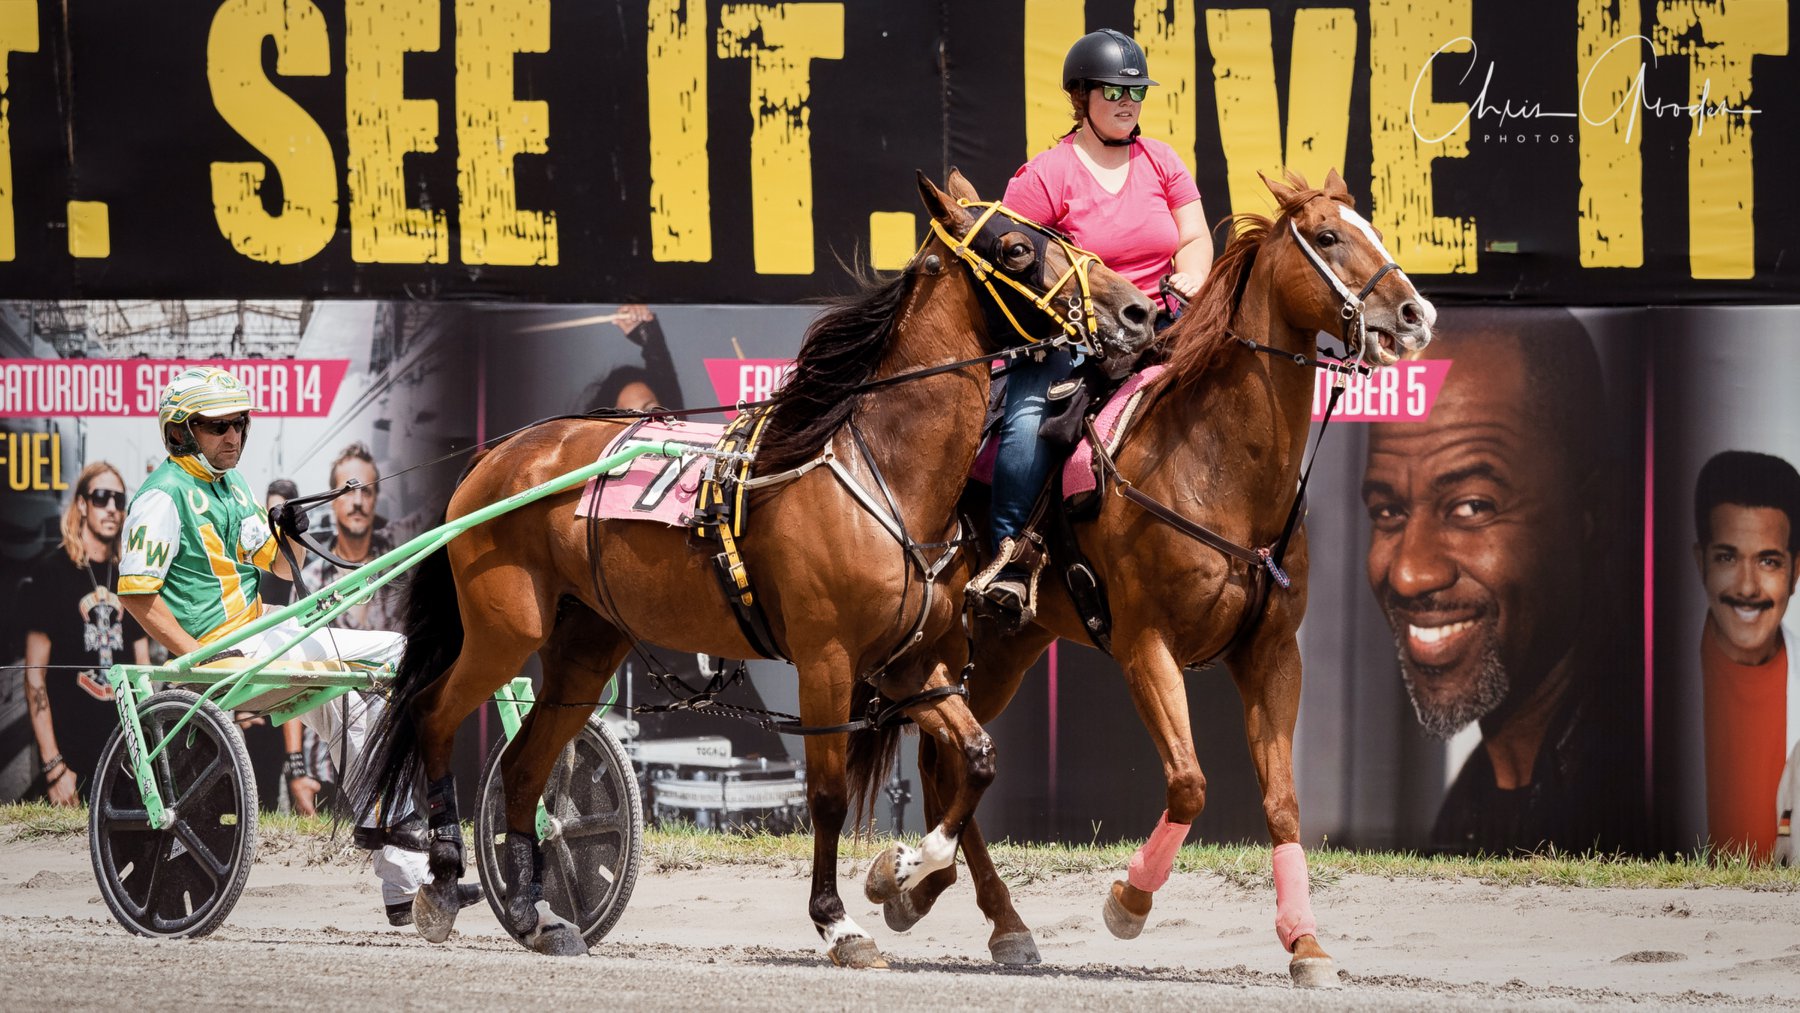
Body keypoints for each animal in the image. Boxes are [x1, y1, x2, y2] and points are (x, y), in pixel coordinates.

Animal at [348, 170, 1157, 966]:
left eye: (1060, 233)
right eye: (1018, 248)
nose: (1138, 309)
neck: (887, 472)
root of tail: (499, 456)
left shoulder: (911, 661)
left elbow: (979, 756)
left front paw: (903, 866)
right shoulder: (826, 658)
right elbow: (827, 795)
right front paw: (838, 921)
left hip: (586, 645)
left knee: (523, 767)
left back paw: (536, 913)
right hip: (503, 627)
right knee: (434, 713)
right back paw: (443, 880)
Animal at [886, 170, 1435, 986]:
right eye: (1329, 236)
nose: (1414, 314)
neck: (1219, 468)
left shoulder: (1273, 653)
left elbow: (1282, 802)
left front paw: (1306, 944)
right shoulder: (1146, 645)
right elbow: (1190, 782)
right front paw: (1128, 902)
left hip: (1011, 648)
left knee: (945, 756)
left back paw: (950, 900)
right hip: (951, 641)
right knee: (944, 754)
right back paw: (950, 899)